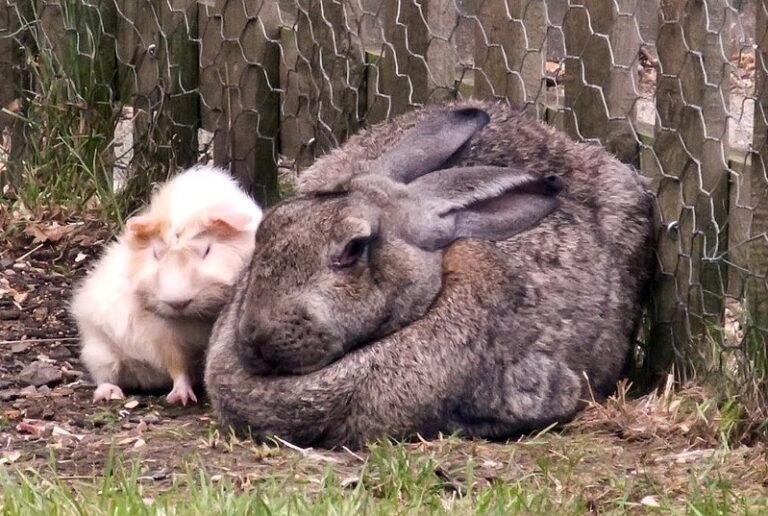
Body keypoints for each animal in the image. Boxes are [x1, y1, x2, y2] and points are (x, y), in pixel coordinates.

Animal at [71, 165, 263, 405]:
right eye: (156, 253)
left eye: (207, 250)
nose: (177, 302)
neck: (193, 317)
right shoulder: (162, 334)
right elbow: (177, 367)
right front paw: (182, 399)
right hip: (99, 353)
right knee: (105, 377)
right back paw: (110, 394)